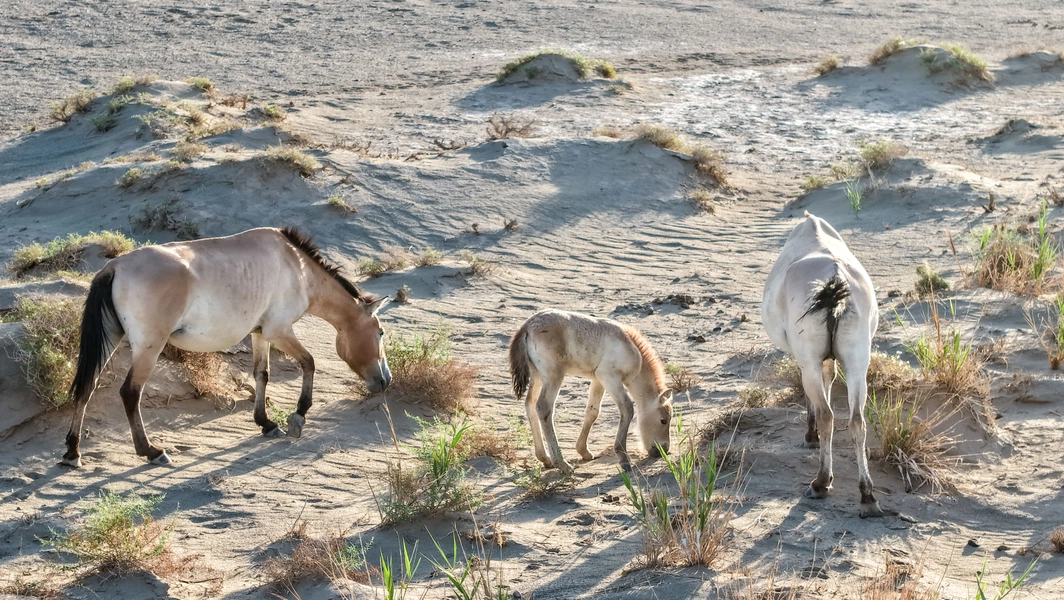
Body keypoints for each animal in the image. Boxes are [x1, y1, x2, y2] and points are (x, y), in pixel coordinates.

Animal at [61, 227, 391, 468]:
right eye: (381, 332)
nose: (385, 381)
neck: (295, 267)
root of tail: (115, 266)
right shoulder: (279, 330)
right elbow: (309, 362)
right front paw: (298, 416)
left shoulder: (260, 334)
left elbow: (262, 375)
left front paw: (266, 423)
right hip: (148, 348)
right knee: (130, 392)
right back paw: (151, 451)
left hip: (111, 338)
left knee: (87, 387)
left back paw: (73, 452)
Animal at [508, 309, 673, 474]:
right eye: (663, 420)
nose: (663, 450)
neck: (633, 349)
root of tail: (526, 327)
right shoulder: (609, 377)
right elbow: (627, 409)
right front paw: (623, 458)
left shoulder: (598, 380)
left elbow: (592, 412)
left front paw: (584, 451)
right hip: (553, 376)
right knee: (543, 408)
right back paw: (562, 463)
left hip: (537, 375)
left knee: (530, 404)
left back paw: (545, 458)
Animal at [761, 211, 891, 518]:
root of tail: (834, 282)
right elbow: (830, 382)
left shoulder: (807, 362)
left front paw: (811, 436)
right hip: (857, 365)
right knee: (857, 421)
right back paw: (867, 495)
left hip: (810, 362)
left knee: (826, 414)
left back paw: (820, 483)